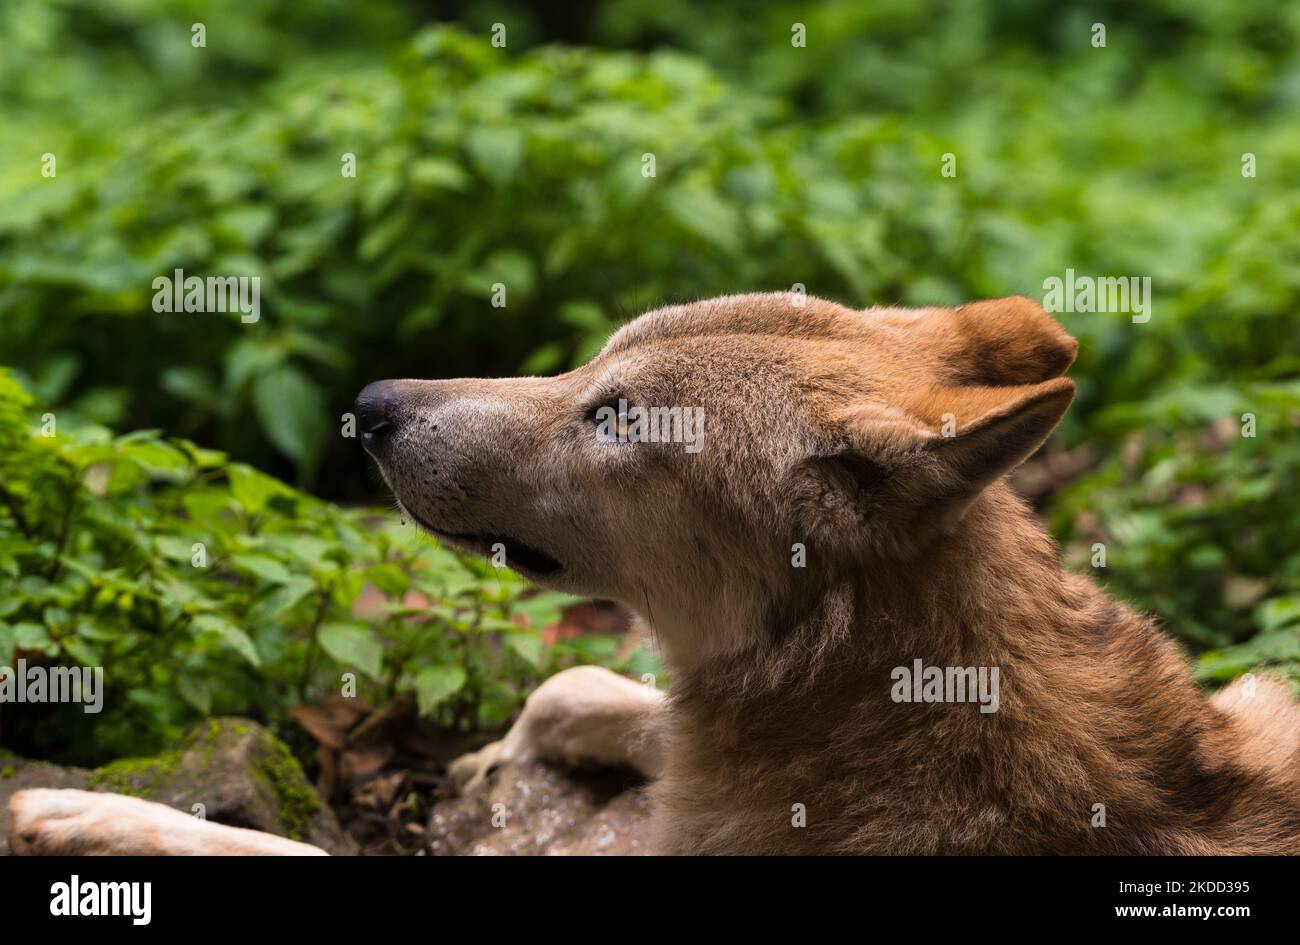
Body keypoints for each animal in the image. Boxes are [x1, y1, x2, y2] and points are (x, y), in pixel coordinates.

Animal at [10, 293, 1299, 854]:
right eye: (591, 362)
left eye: (622, 419)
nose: (372, 406)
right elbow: (574, 685)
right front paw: (498, 752)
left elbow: (272, 850)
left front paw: (76, 813)